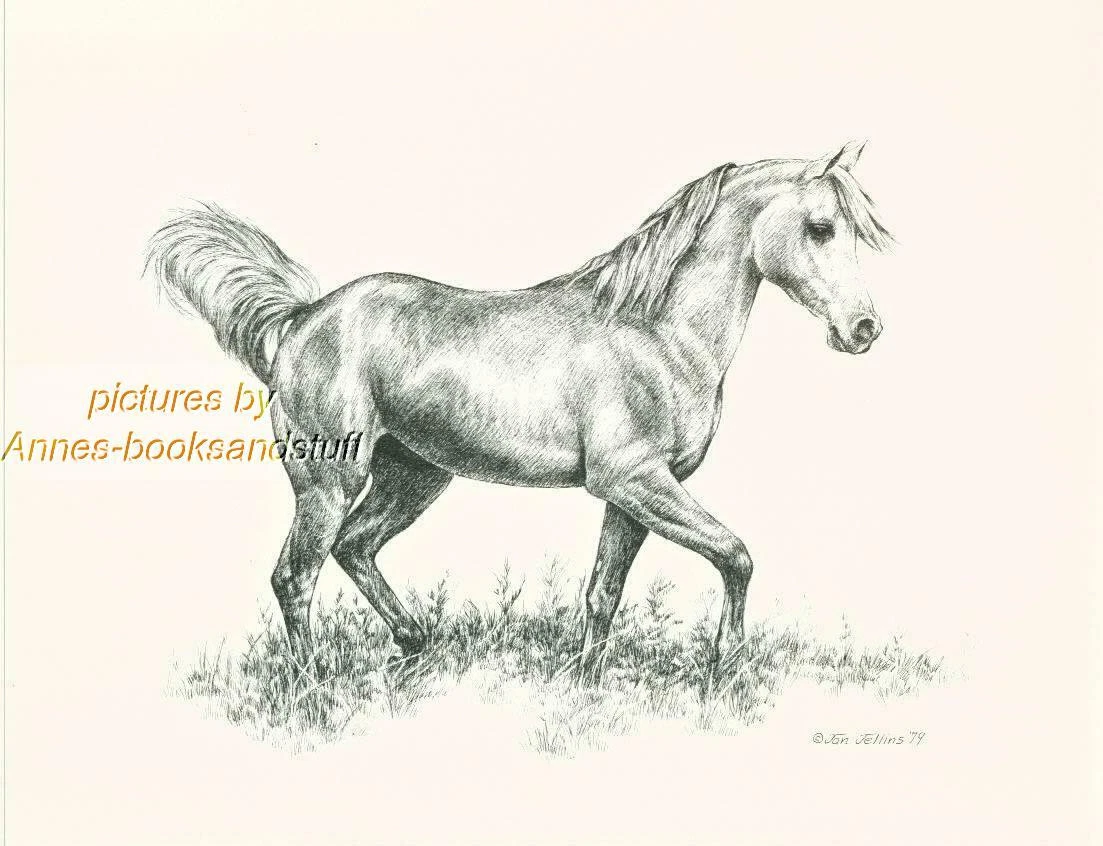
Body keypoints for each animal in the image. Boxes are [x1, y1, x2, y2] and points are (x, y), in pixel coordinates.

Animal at [147, 141, 892, 684]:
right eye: (820, 228)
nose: (863, 329)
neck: (656, 333)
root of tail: (303, 318)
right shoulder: (635, 481)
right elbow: (735, 556)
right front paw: (728, 662)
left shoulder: (632, 495)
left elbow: (602, 592)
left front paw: (583, 681)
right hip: (328, 482)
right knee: (296, 576)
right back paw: (311, 686)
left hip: (413, 476)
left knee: (354, 547)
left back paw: (415, 644)